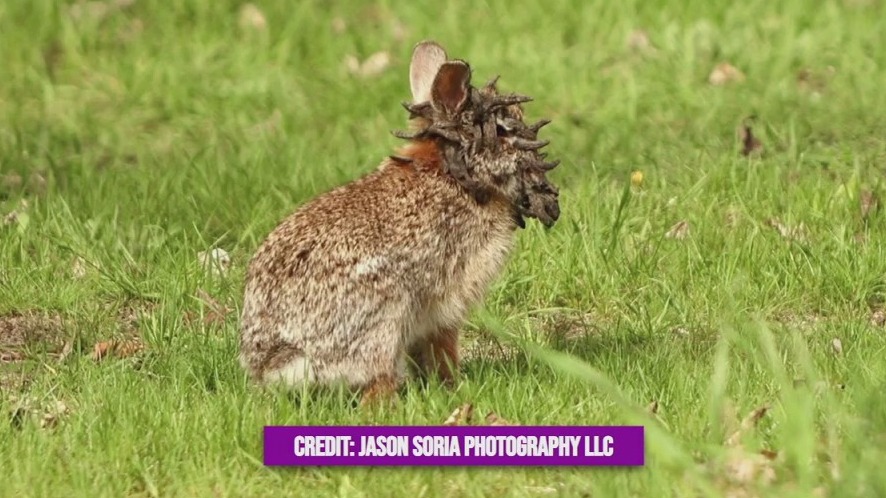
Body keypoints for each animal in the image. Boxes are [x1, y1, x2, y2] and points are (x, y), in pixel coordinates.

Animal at [238, 40, 561, 404]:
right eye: (504, 131)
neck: (454, 177)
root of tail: (280, 362)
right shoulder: (447, 300)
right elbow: (443, 347)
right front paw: (454, 386)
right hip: (383, 322)